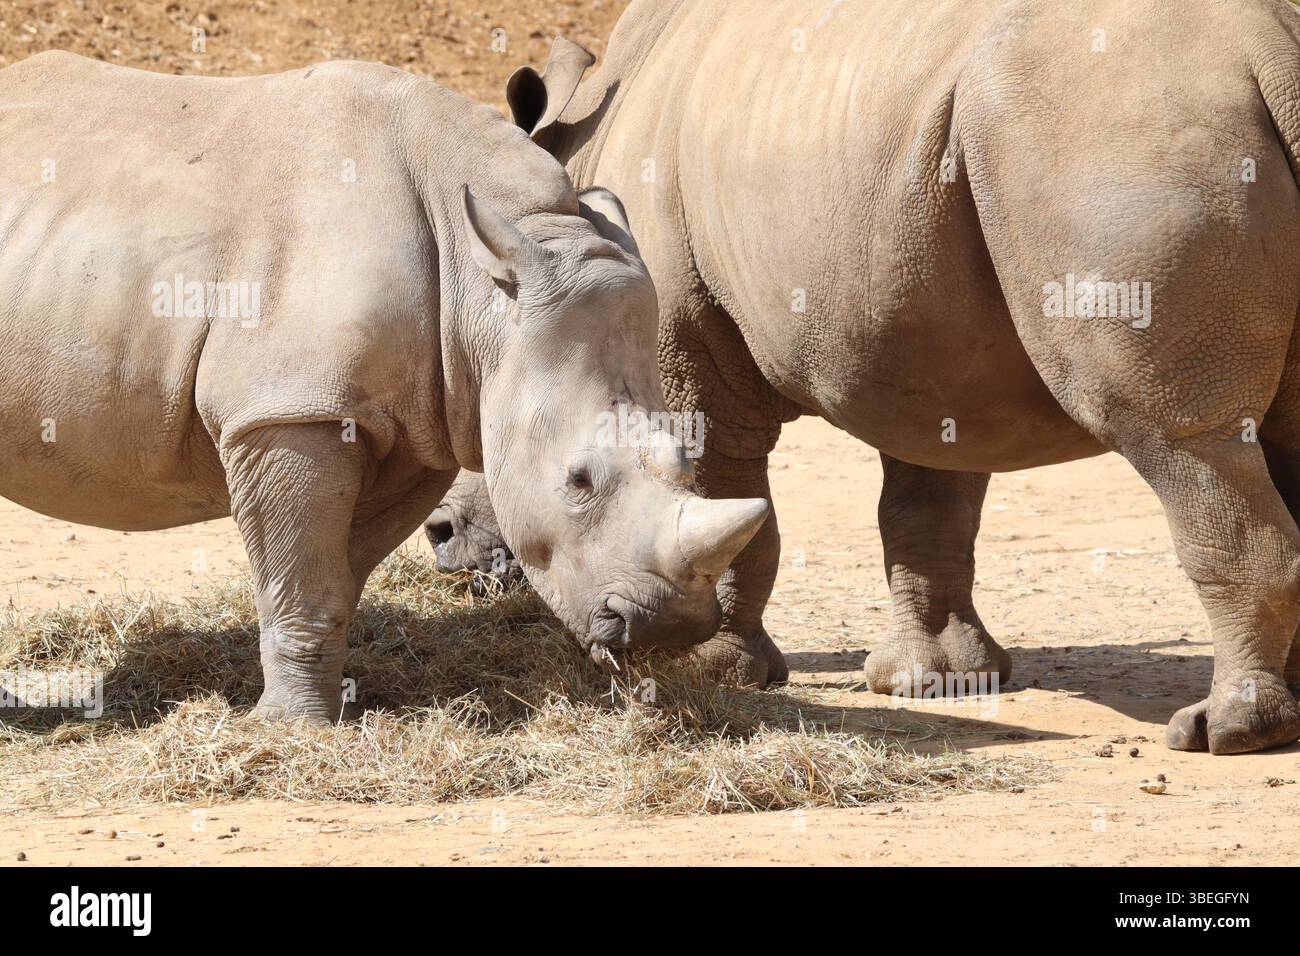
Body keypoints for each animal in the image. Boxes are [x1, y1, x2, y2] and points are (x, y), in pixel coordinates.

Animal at [0, 50, 771, 721]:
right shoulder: (288, 411)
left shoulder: (416, 425)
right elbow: (302, 572)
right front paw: (291, 731)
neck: (486, 285)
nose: (668, 630)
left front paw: (327, 707)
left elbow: (334, 577)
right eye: (578, 481)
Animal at [427, 0, 1300, 753]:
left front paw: (712, 669)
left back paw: (1221, 732)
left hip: (1110, 133)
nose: (442, 534)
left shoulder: (680, 347)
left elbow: (715, 484)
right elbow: (928, 502)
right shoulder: (927, 342)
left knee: (1180, 440)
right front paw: (935, 682)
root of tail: (1268, 48)